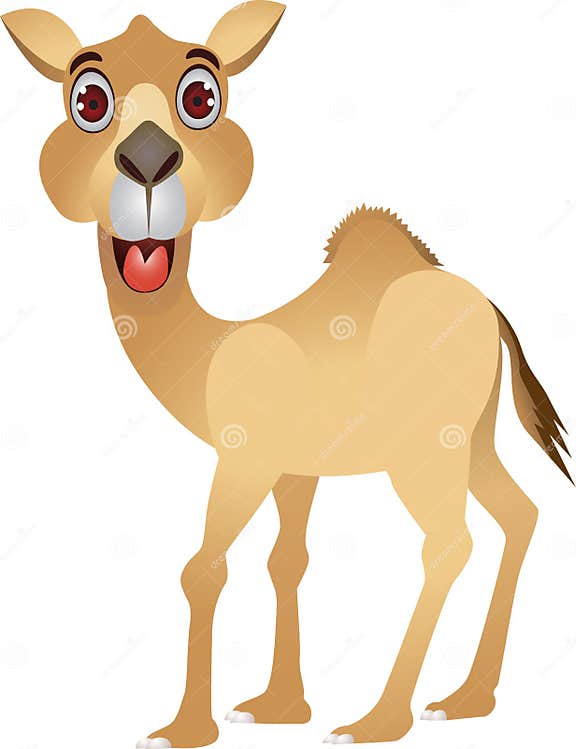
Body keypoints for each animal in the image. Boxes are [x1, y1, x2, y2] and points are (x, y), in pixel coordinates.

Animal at [2, 3, 571, 747]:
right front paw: (277, 705)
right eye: (88, 100)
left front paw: (186, 727)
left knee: (449, 542)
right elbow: (286, 559)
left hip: (424, 449)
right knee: (519, 513)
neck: (210, 350)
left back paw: (379, 718)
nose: (149, 162)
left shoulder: (243, 454)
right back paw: (467, 698)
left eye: (201, 96)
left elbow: (202, 569)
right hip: (470, 438)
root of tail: (489, 309)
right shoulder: (294, 469)